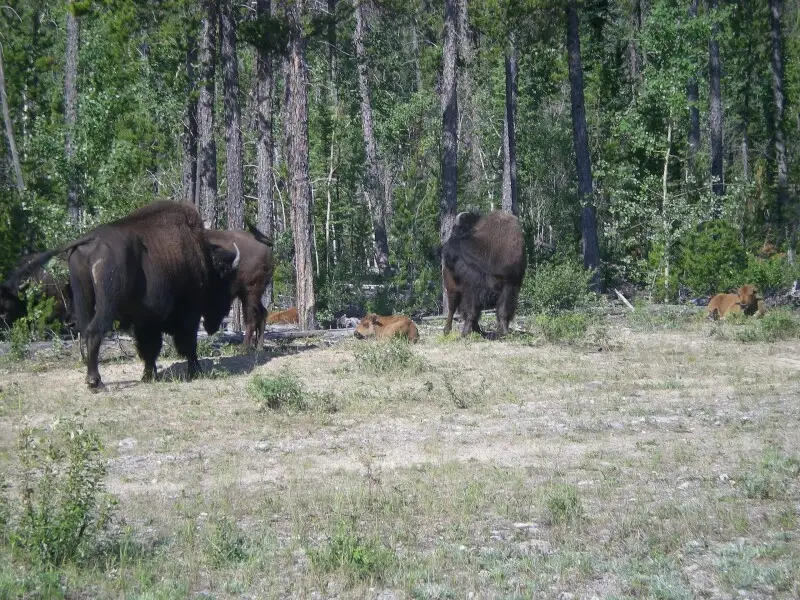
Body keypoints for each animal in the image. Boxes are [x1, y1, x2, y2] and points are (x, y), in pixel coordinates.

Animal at [29, 201, 240, 390]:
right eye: (225, 282)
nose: (216, 323)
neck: (202, 258)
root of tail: (91, 239)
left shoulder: (146, 321)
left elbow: (150, 348)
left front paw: (148, 375)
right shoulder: (188, 313)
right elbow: (187, 343)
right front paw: (195, 371)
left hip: (83, 299)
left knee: (85, 331)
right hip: (107, 304)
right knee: (94, 332)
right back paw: (96, 383)